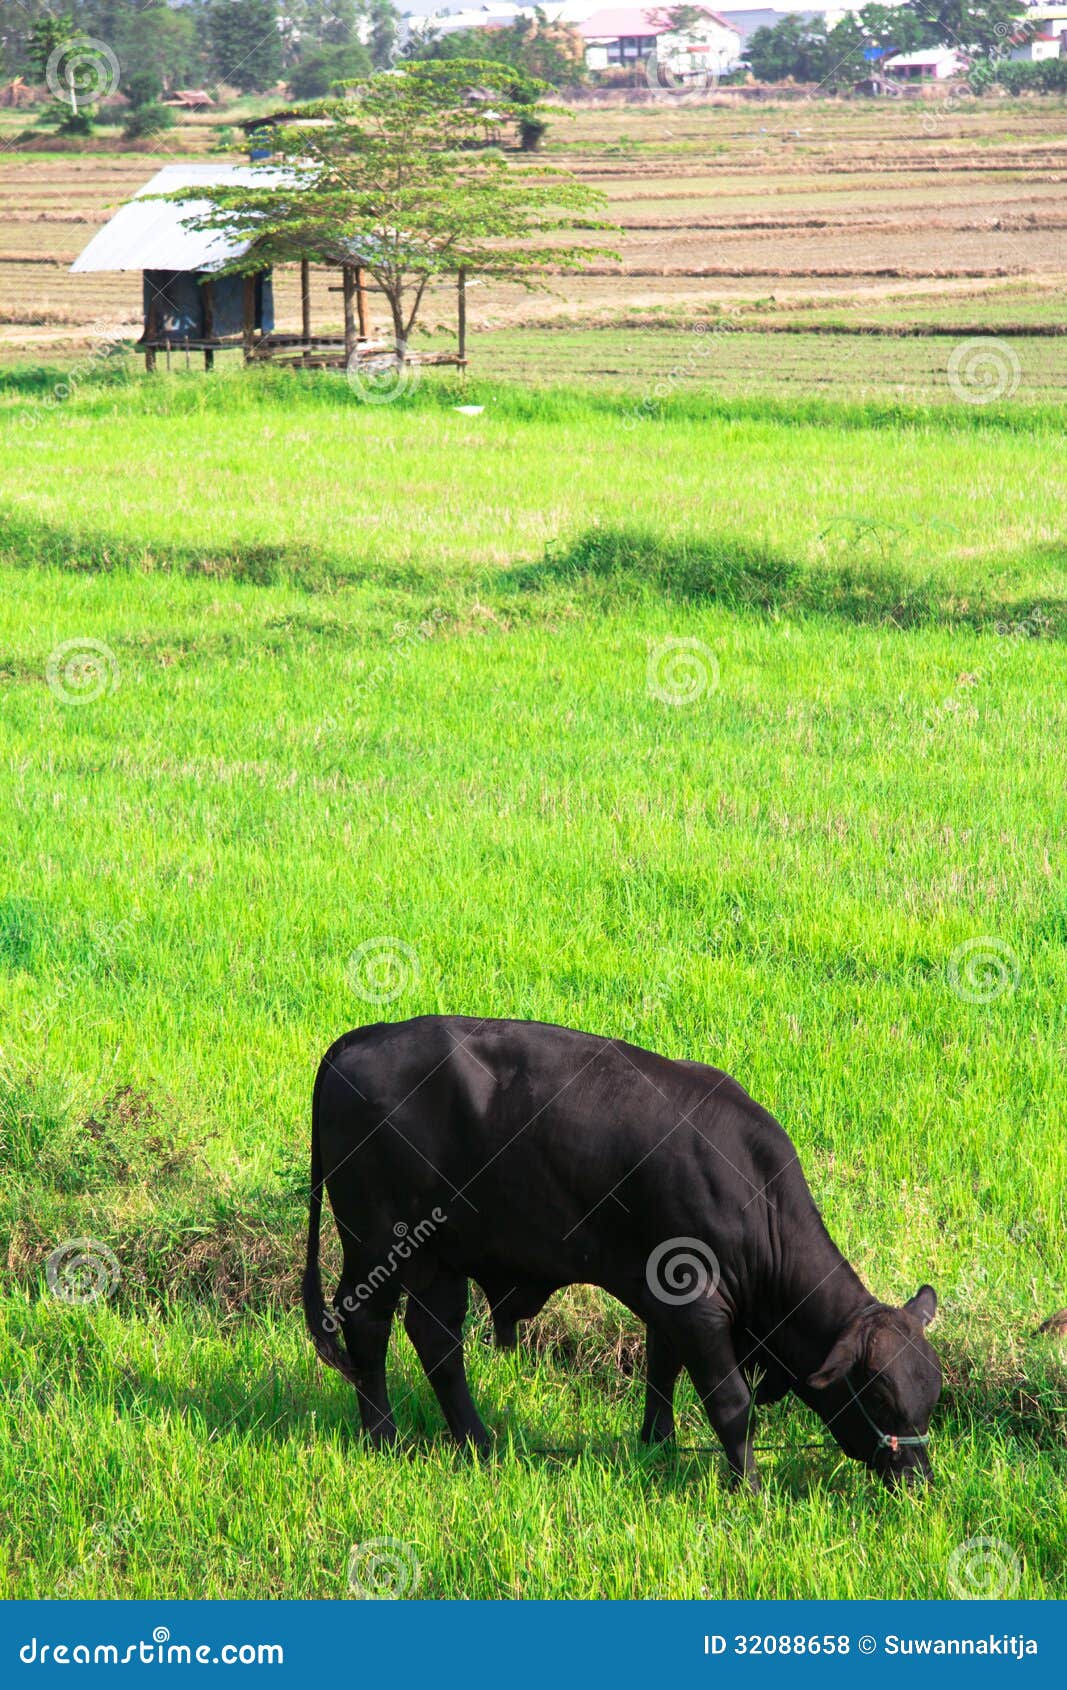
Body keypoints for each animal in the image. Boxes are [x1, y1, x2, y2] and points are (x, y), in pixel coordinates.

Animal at [303, 1016, 941, 1490]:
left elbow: (662, 1371)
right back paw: (383, 1438)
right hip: (378, 1245)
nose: (919, 1480)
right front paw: (750, 1488)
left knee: (436, 1340)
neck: (752, 1192)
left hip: (441, 1258)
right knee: (367, 1328)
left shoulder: (667, 1301)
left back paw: (478, 1443)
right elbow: (732, 1402)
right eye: (879, 1396)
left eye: (931, 1395)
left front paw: (658, 1446)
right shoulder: (696, 1303)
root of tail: (358, 1039)